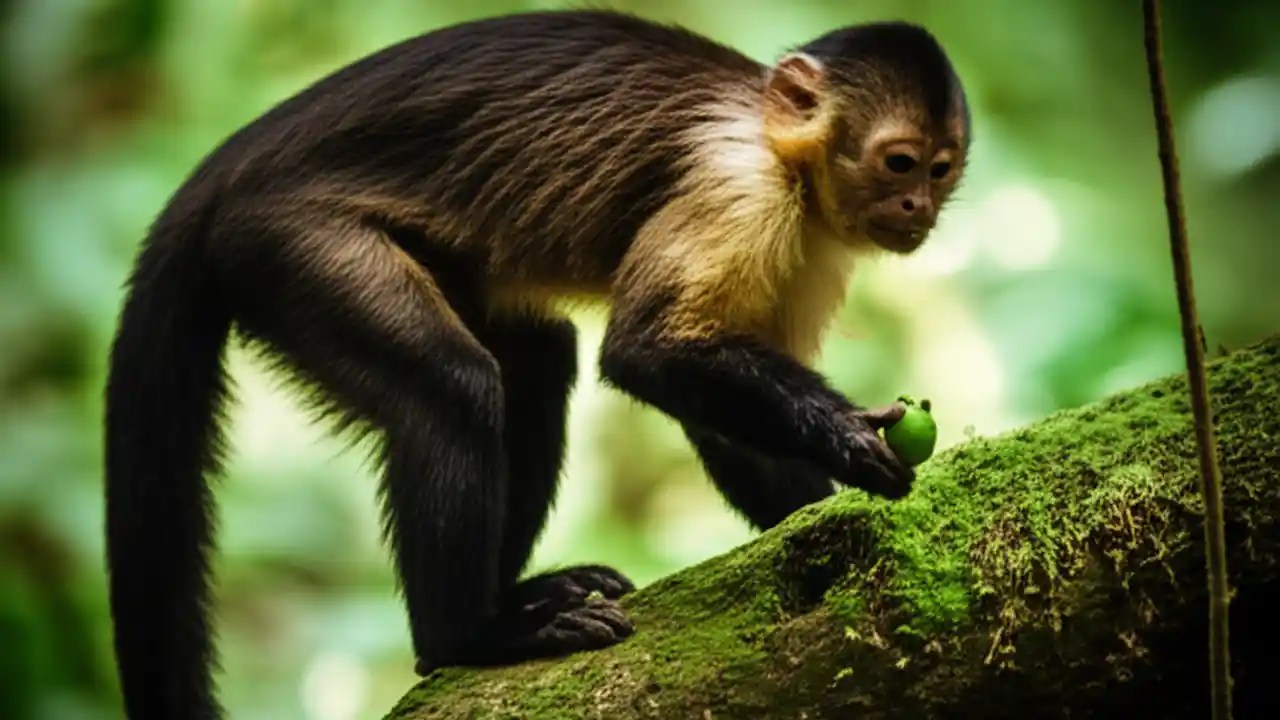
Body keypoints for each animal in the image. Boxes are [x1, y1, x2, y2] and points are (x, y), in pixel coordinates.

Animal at [103, 9, 969, 719]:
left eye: (940, 170)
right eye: (898, 163)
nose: (918, 210)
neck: (778, 151)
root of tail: (227, 166)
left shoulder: (814, 242)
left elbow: (712, 405)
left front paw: (813, 516)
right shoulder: (736, 189)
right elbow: (647, 350)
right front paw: (849, 437)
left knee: (539, 364)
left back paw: (520, 597)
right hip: (281, 243)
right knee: (452, 386)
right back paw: (469, 638)